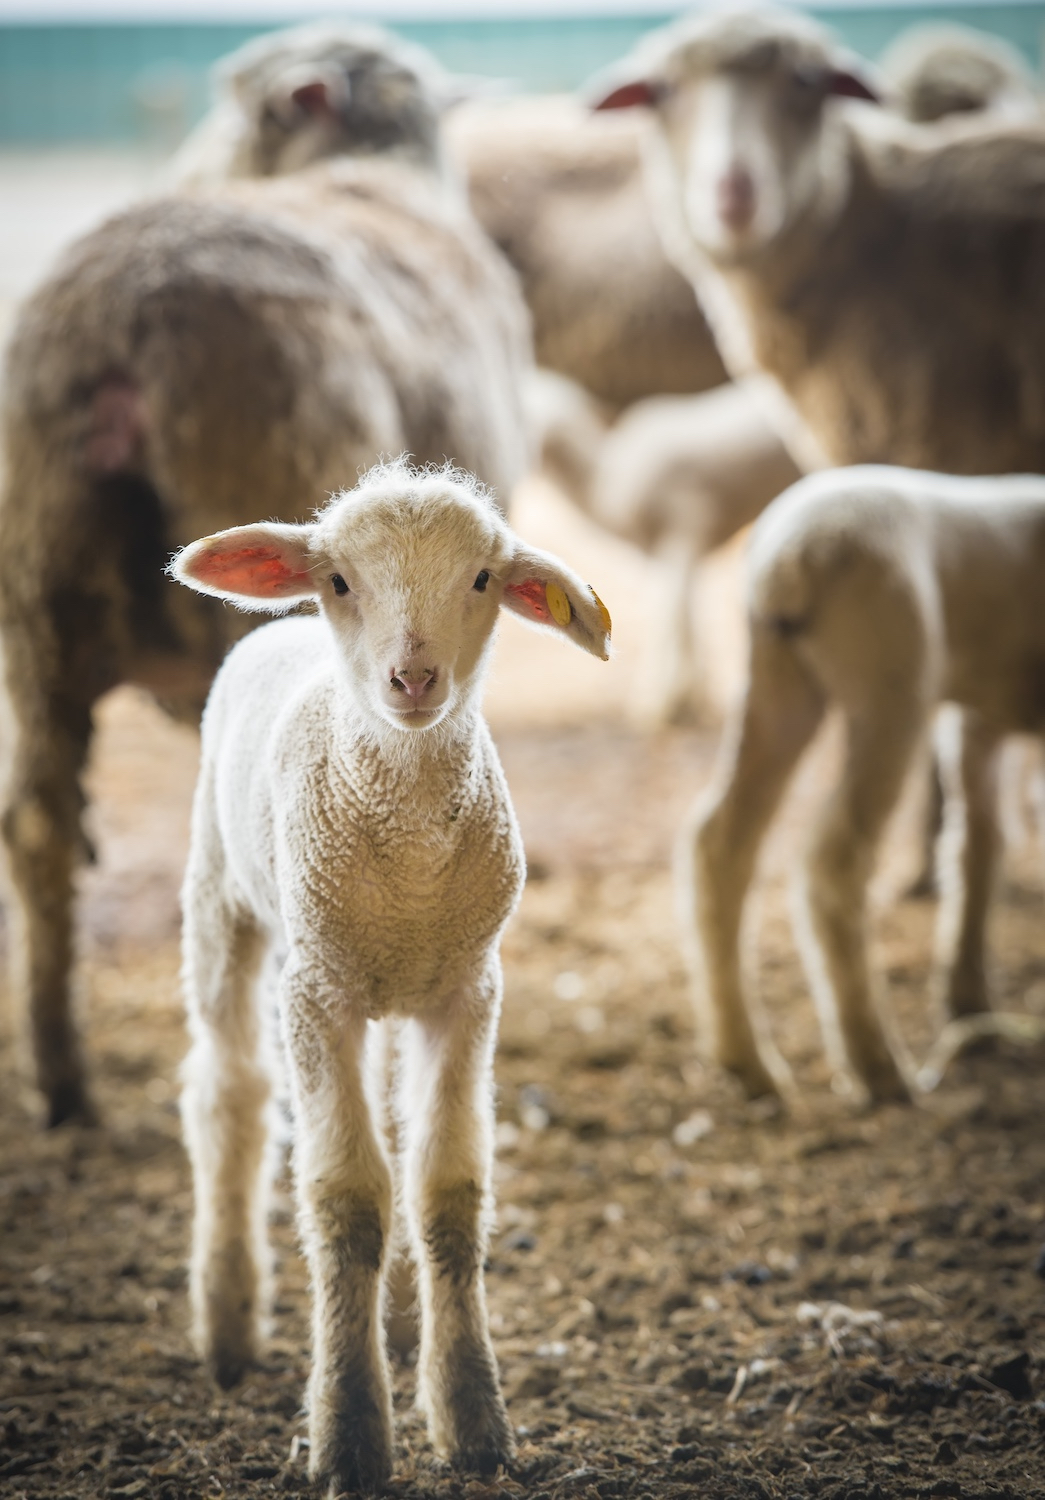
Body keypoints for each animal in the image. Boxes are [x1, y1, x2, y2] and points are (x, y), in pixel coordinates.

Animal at [170, 459, 611, 1494]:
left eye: (483, 579)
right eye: (340, 581)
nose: (412, 679)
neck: (407, 859)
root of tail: (277, 627)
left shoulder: (465, 991)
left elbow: (446, 1192)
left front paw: (471, 1418)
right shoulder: (314, 993)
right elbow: (346, 1203)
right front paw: (351, 1436)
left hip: (371, 982)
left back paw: (404, 1324)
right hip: (225, 899)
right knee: (228, 1091)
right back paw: (227, 1319)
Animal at [527, 369, 799, 721]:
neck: (605, 484)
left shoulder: (683, 532)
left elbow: (670, 618)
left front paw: (662, 704)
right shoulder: (668, 554)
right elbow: (687, 617)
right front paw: (691, 696)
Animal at [680, 464, 1045, 1106]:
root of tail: (793, 557)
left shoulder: (977, 720)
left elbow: (980, 844)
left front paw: (968, 998)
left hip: (774, 682)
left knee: (720, 841)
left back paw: (745, 1059)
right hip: (893, 678)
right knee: (834, 860)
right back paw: (877, 1066)